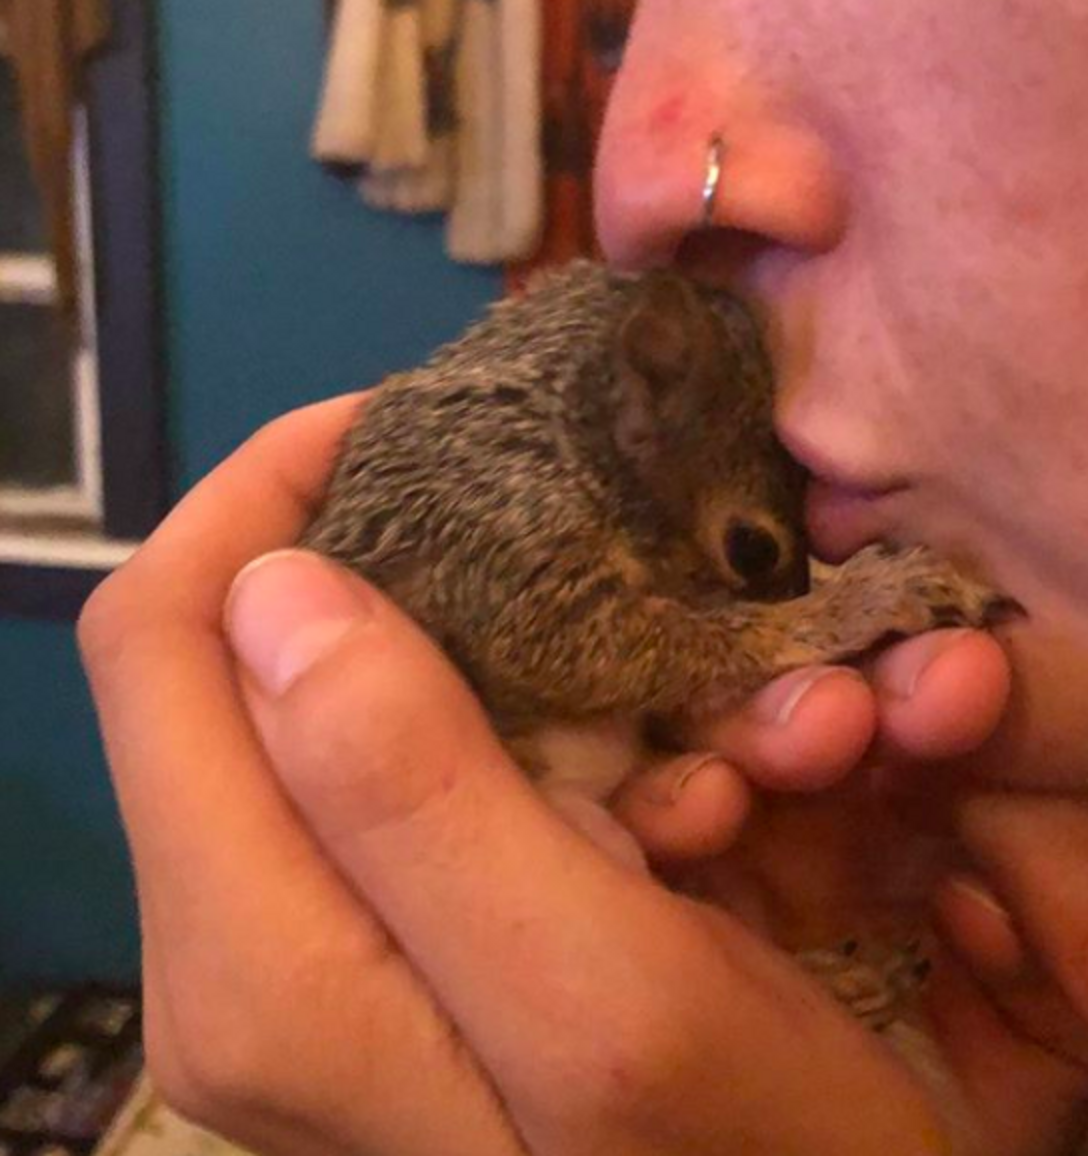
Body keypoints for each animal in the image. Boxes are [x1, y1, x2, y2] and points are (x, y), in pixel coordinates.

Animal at [301, 260, 1002, 1060]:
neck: (566, 436)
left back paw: (858, 979)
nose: (802, 587)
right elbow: (620, 646)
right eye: (752, 548)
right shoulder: (507, 541)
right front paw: (854, 604)